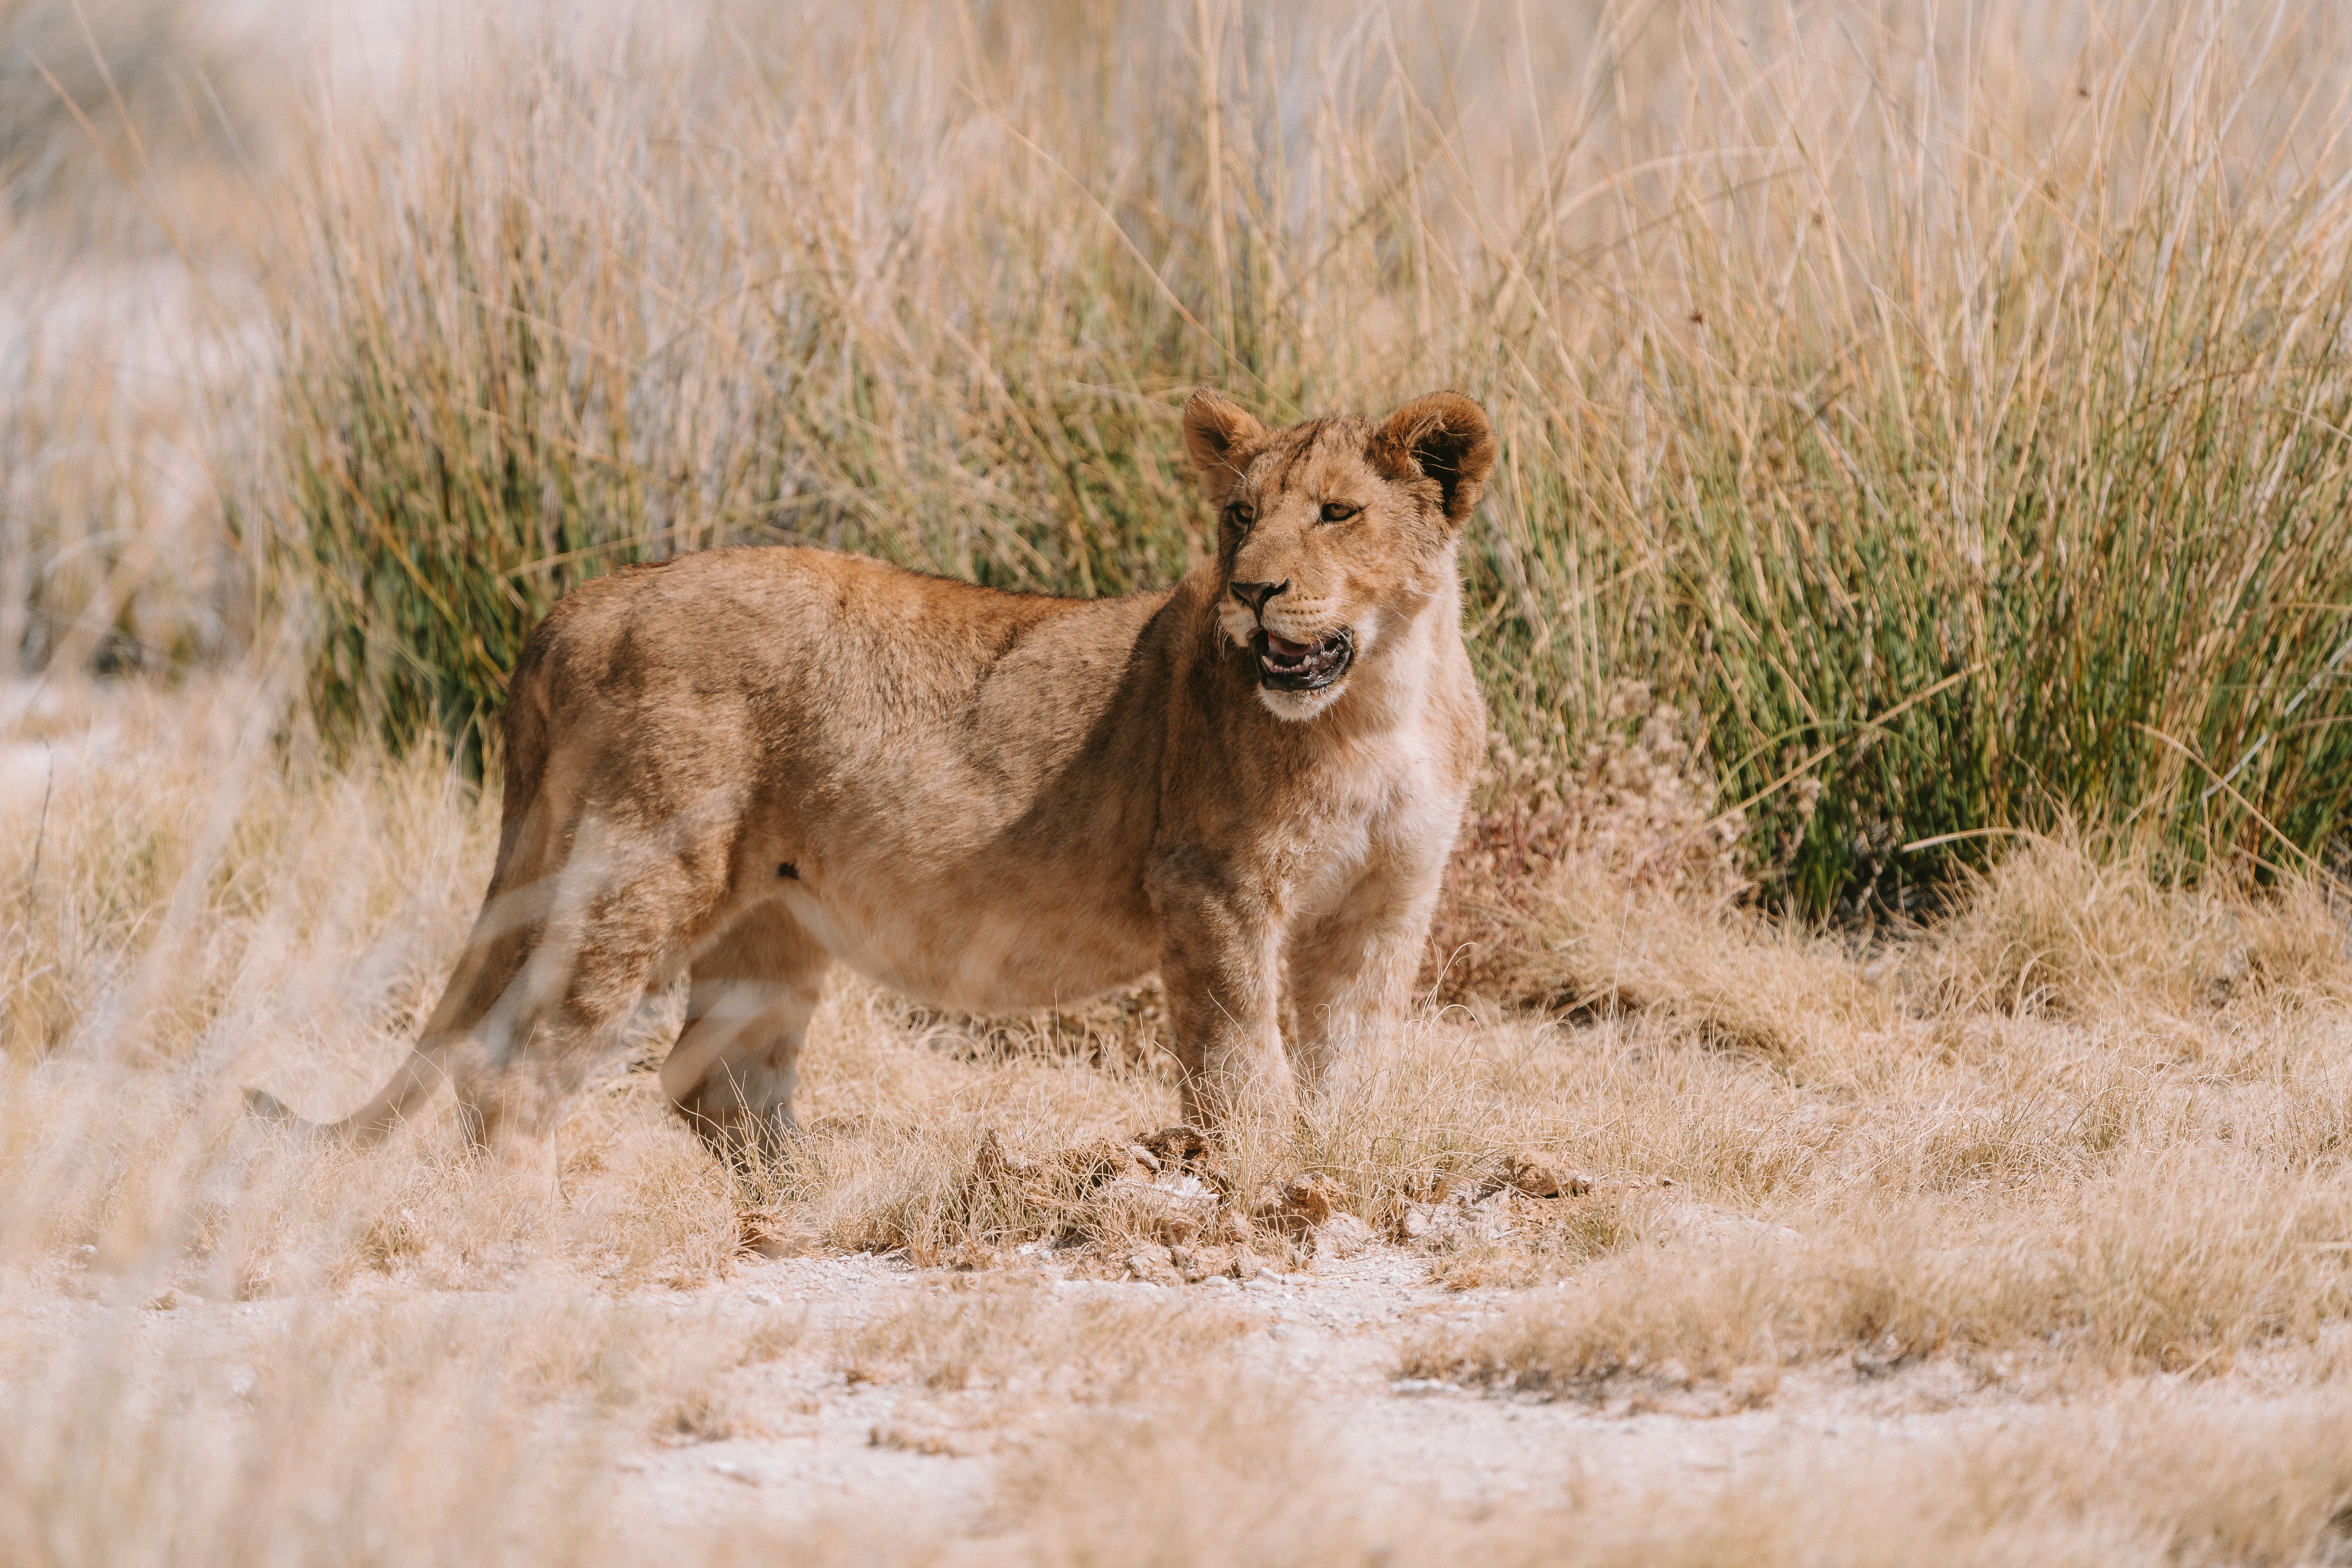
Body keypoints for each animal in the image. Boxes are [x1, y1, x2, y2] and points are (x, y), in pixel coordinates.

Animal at [247, 389, 1494, 1157]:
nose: (1251, 591)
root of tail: (590, 599)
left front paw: (1342, 1155)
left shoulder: (1384, 906)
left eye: (1337, 513)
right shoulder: (1212, 888)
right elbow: (1241, 1060)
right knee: (513, 1071)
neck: (1377, 702)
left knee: (710, 1087)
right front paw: (1258, 1176)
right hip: (641, 869)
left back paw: (819, 1203)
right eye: (1238, 516)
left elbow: (1350, 1054)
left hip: (768, 924)